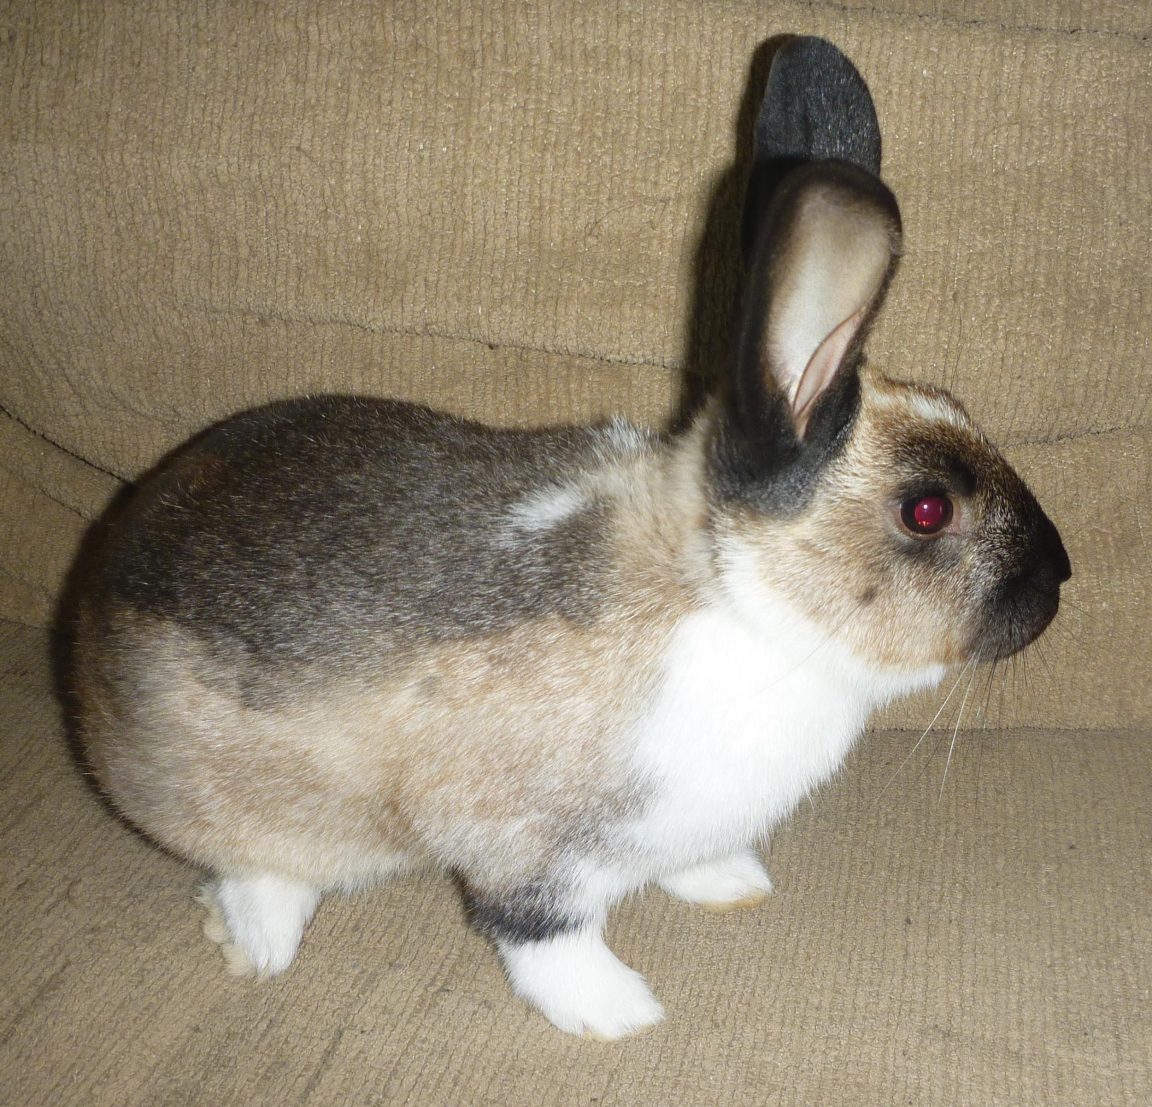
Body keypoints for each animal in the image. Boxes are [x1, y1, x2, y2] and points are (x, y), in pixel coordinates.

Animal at [73, 35, 1070, 1040]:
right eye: (927, 511)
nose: (1060, 576)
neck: (737, 599)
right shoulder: (529, 851)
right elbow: (540, 933)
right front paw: (619, 1013)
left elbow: (685, 861)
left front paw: (732, 884)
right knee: (256, 866)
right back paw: (257, 942)